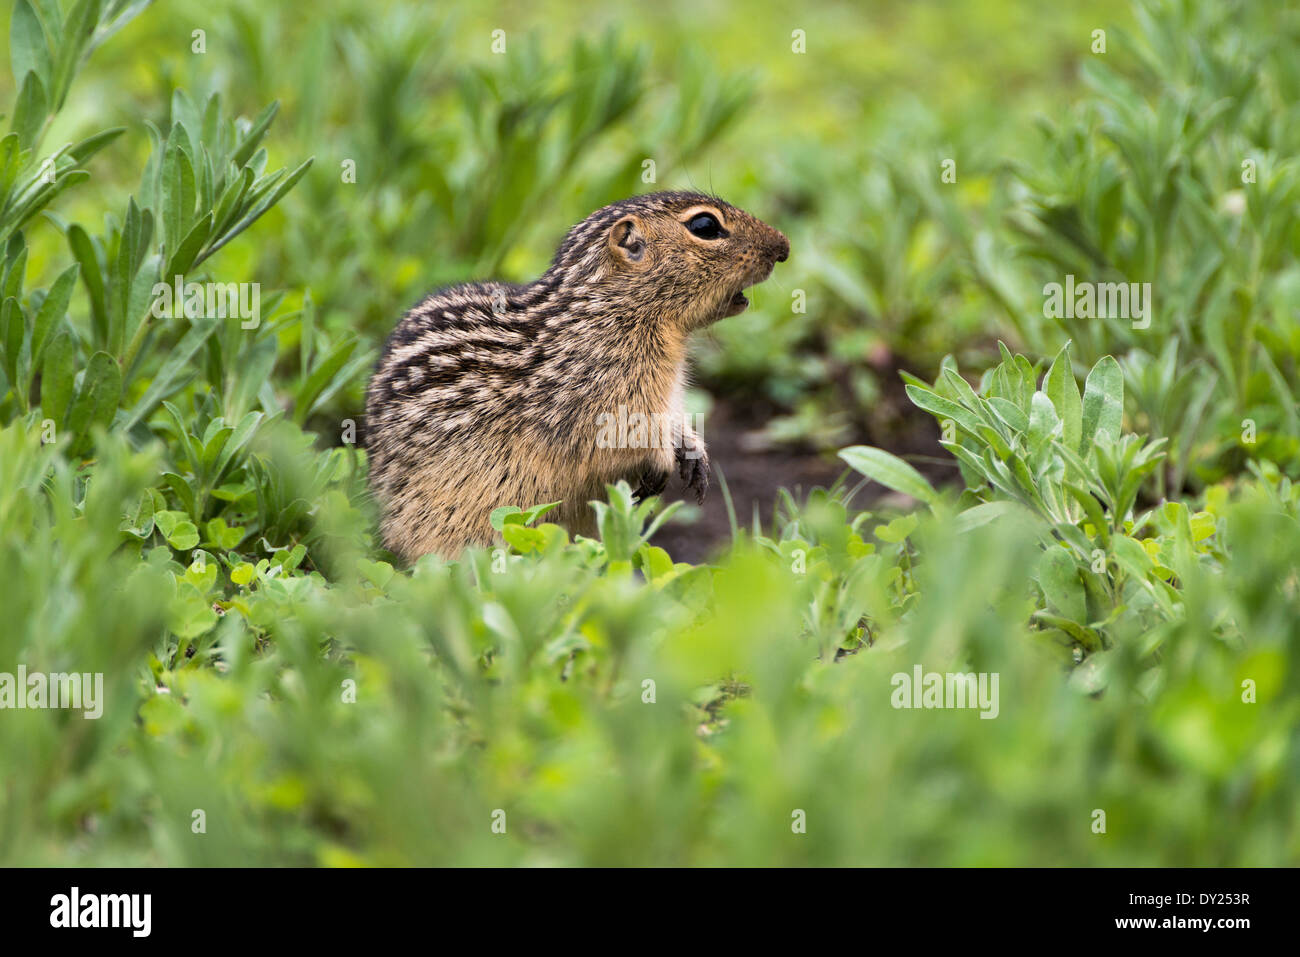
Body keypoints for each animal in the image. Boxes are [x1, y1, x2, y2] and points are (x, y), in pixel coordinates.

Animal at [364, 191, 789, 562]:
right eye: (705, 226)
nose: (783, 247)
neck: (613, 311)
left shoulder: (664, 396)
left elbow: (673, 421)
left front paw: (694, 452)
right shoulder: (599, 401)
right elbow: (623, 439)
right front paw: (663, 464)